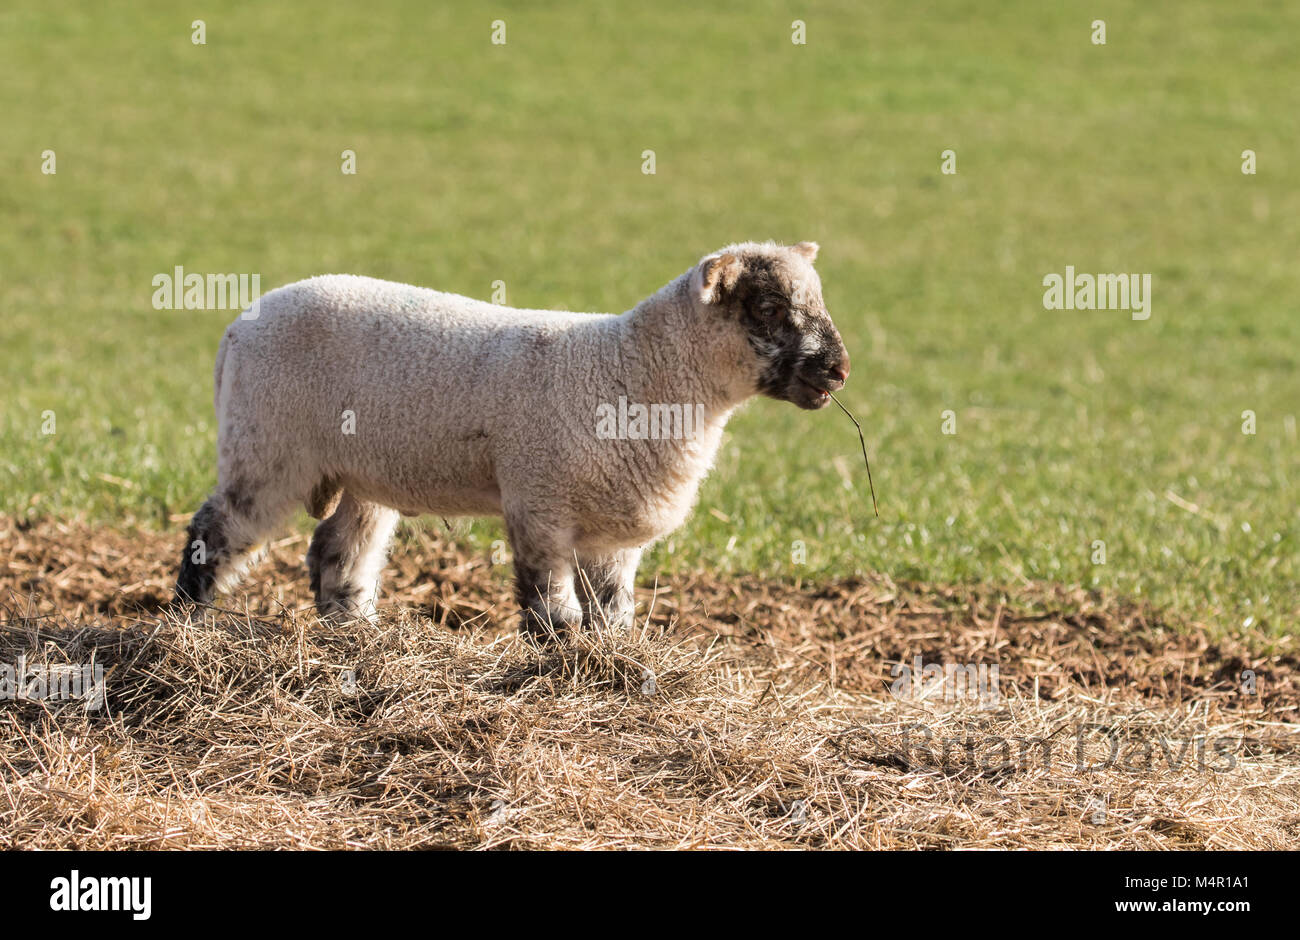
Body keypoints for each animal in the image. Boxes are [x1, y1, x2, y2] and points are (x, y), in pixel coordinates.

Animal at [173, 241, 851, 634]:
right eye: (768, 307)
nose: (839, 371)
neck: (633, 366)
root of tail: (237, 328)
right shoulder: (538, 502)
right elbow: (552, 606)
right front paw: (560, 665)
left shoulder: (613, 534)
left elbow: (612, 610)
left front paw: (610, 665)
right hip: (266, 448)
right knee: (214, 529)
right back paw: (187, 623)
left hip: (361, 470)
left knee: (339, 556)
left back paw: (360, 637)